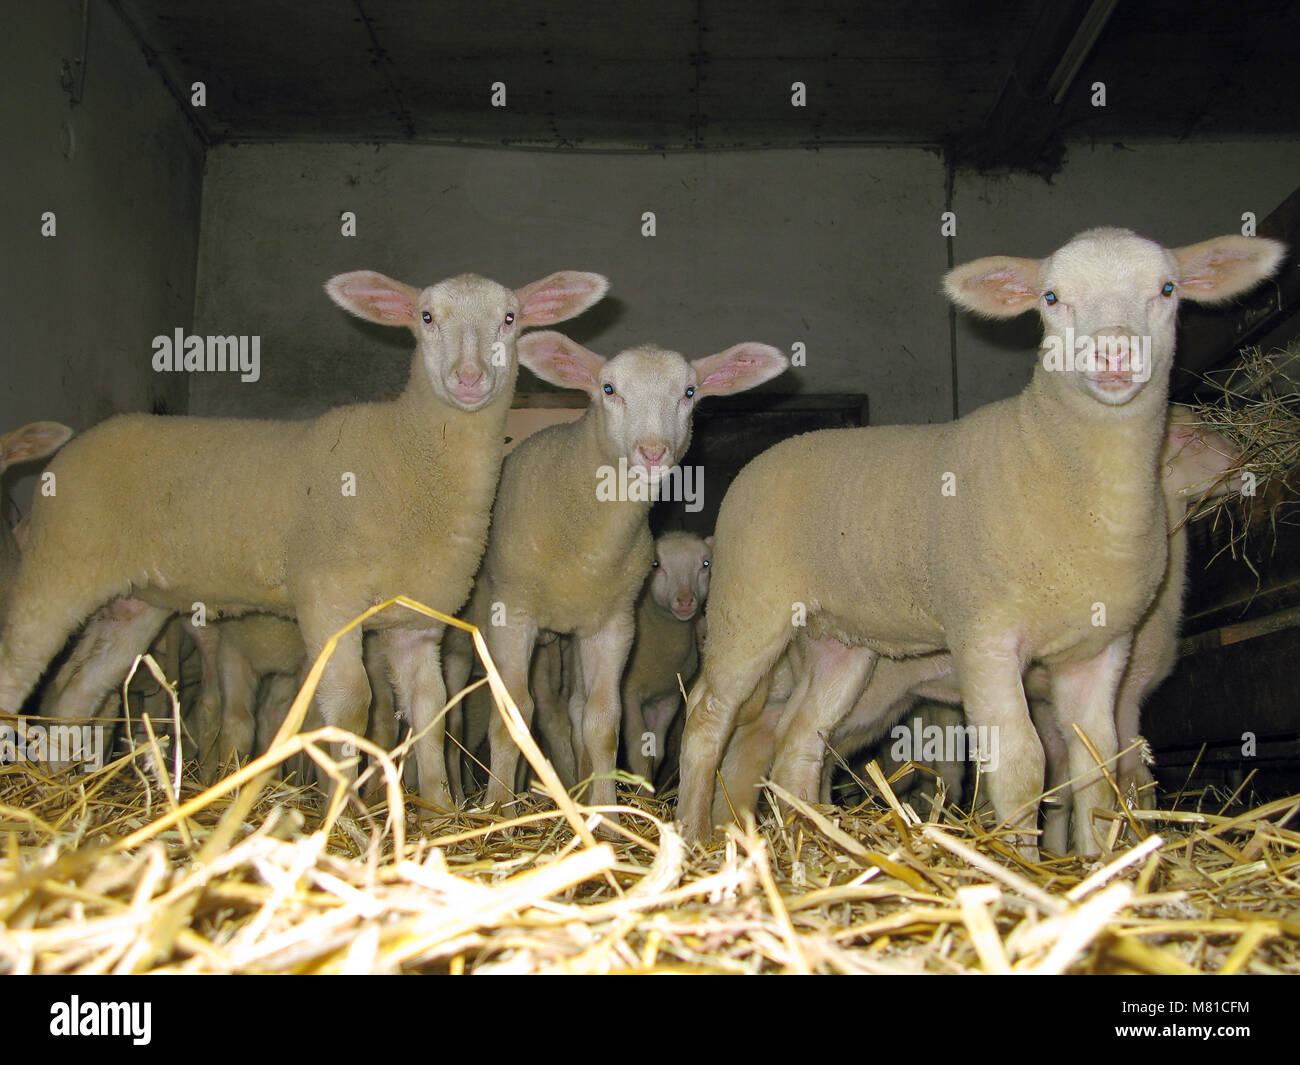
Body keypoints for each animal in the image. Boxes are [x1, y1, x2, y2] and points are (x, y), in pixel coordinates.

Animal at [0, 269, 609, 807]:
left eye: (509, 318)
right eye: (426, 316)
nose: (468, 379)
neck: (413, 455)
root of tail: (83, 442)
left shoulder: (416, 621)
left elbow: (430, 713)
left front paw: (437, 808)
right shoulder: (328, 593)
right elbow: (351, 705)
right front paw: (346, 812)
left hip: (136, 601)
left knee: (78, 692)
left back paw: (56, 787)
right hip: (62, 561)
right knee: (18, 668)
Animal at [443, 333, 787, 817]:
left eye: (689, 392)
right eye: (608, 389)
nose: (653, 452)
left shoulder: (615, 623)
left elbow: (602, 722)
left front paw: (605, 813)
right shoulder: (511, 614)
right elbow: (511, 712)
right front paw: (499, 809)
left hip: (559, 644)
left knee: (557, 708)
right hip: (465, 635)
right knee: (459, 713)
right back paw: (464, 795)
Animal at [678, 228, 1284, 857]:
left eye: (1167, 289)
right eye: (1051, 297)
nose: (1113, 353)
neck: (1063, 469)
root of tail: (769, 455)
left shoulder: (1101, 650)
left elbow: (1098, 770)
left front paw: (1096, 861)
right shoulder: (985, 637)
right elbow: (1022, 765)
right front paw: (1023, 860)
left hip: (839, 641)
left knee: (799, 741)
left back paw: (815, 842)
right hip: (750, 608)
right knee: (708, 719)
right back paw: (695, 833)